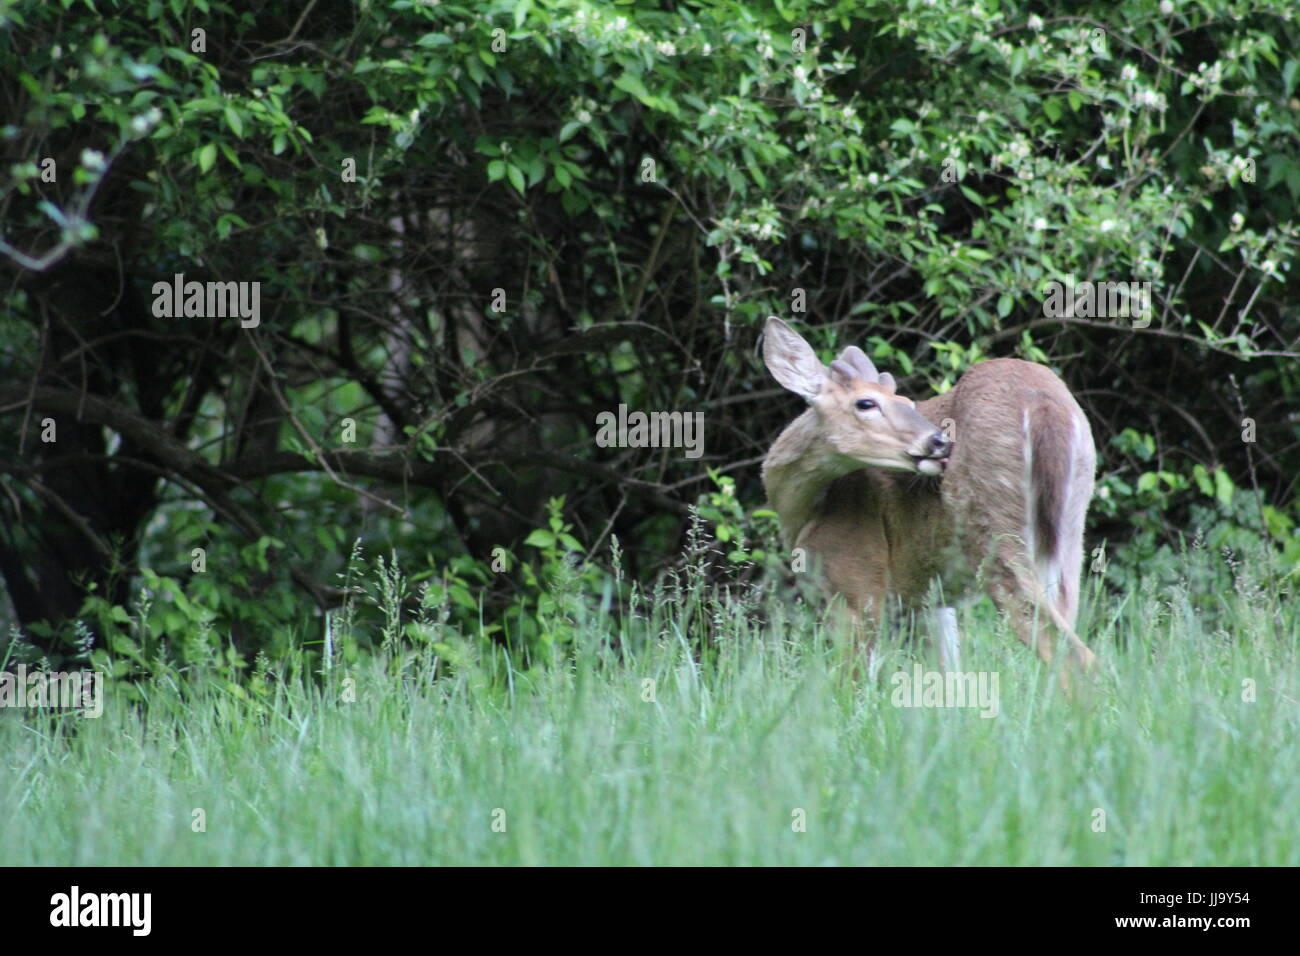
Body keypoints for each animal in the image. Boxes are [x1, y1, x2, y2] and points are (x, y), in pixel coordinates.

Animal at [760, 316, 1098, 685]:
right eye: (866, 403)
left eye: (907, 402)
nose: (938, 441)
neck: (805, 509)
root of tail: (1043, 404)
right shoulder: (932, 600)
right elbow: (948, 672)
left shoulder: (855, 582)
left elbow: (854, 682)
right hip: (1070, 532)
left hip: (996, 530)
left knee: (1075, 656)